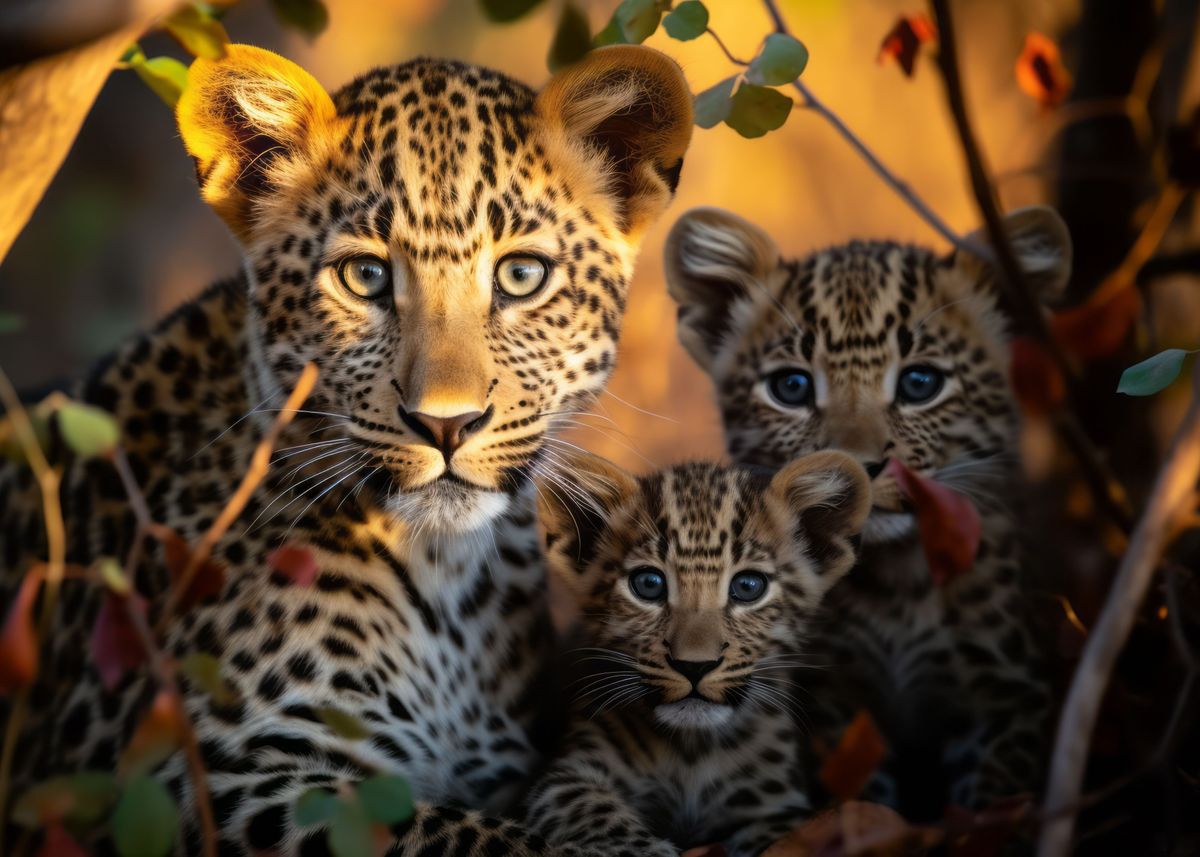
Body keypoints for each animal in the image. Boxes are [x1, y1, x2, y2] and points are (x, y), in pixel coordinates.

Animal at [0, 43, 693, 855]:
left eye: (522, 275)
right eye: (364, 276)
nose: (448, 424)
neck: (447, 582)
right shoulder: (208, 780)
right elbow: (467, 835)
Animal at [523, 450, 871, 857]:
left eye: (748, 587)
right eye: (648, 584)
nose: (694, 666)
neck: (693, 751)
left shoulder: (774, 806)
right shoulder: (567, 777)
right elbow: (596, 814)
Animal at [663, 206, 1071, 821]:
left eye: (921, 383)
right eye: (791, 387)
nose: (857, 465)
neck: (898, 583)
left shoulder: (1006, 697)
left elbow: (994, 794)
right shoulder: (833, 708)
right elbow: (858, 800)